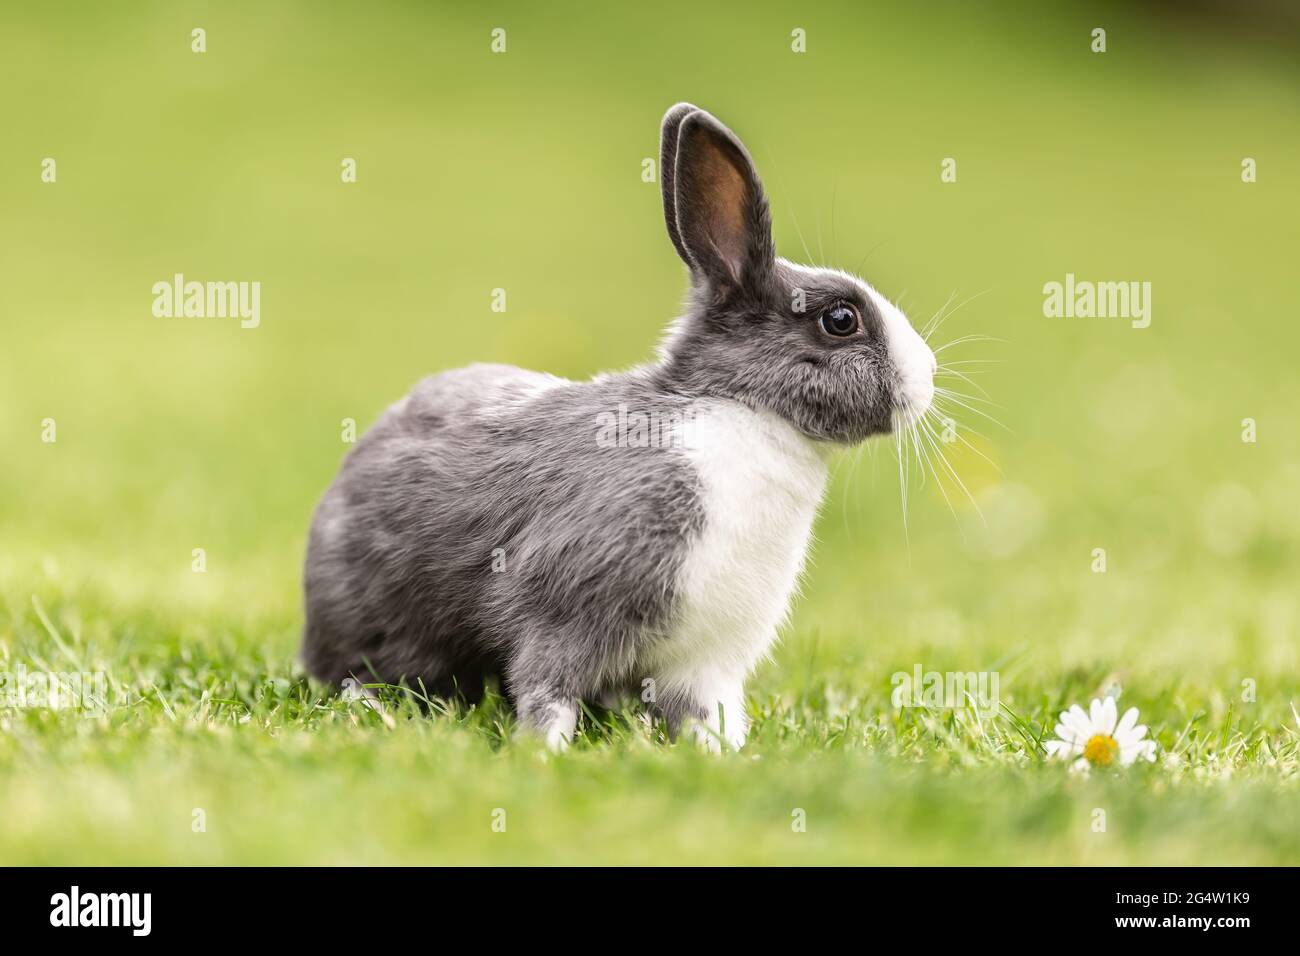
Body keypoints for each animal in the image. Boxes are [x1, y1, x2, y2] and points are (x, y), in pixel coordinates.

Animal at [301, 103, 937, 751]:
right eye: (841, 319)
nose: (929, 375)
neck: (741, 411)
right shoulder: (567, 607)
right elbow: (546, 688)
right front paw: (547, 753)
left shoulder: (705, 663)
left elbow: (706, 715)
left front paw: (726, 756)